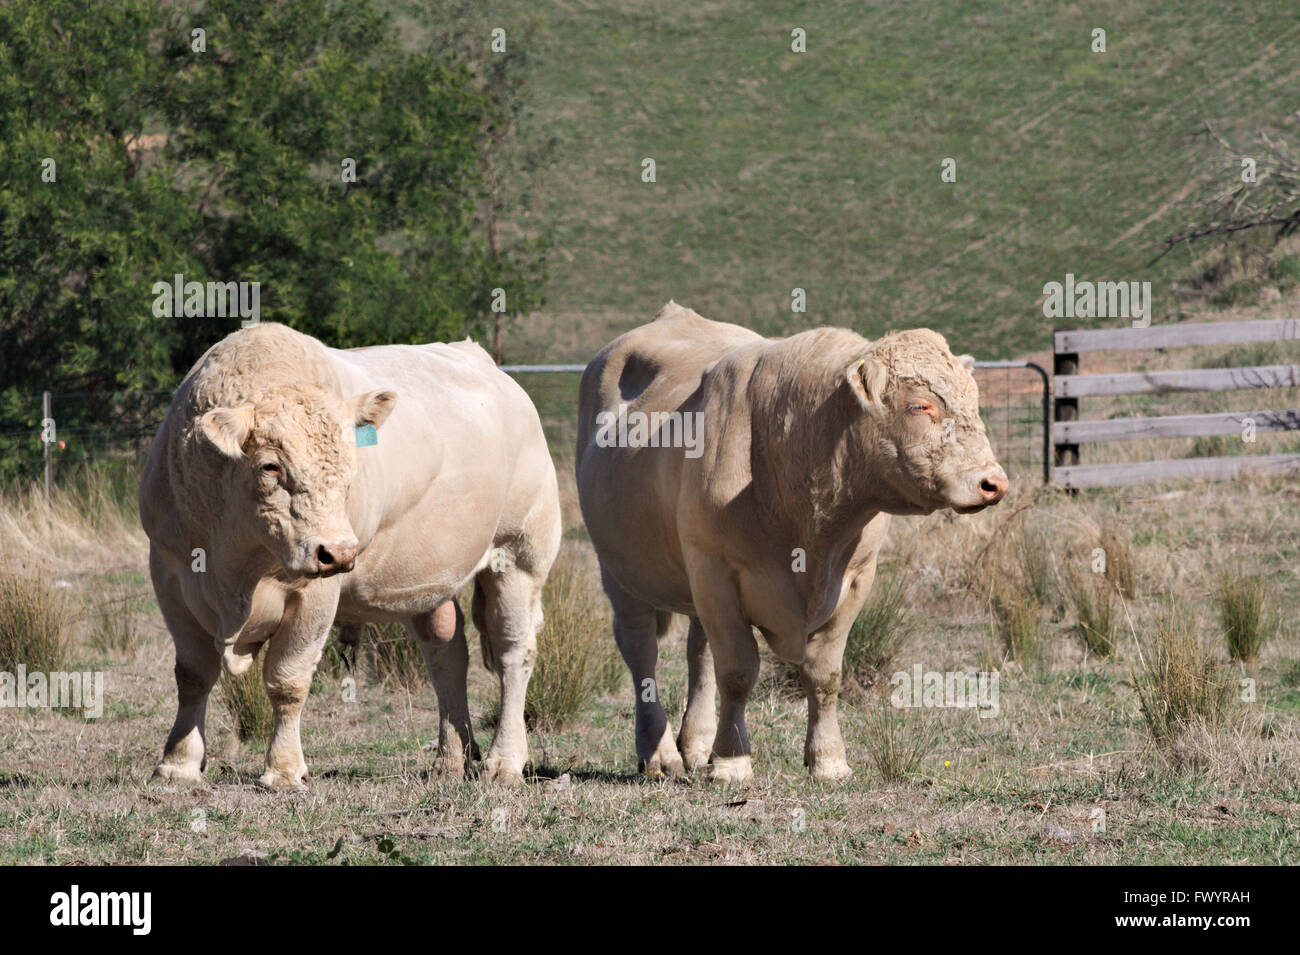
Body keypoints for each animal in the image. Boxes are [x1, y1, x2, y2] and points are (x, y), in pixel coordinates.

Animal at [140, 322, 560, 789]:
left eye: (349, 465)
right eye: (271, 466)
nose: (338, 552)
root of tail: (482, 360)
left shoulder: (317, 593)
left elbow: (287, 679)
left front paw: (283, 769)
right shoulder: (169, 571)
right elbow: (193, 674)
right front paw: (178, 763)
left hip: (519, 555)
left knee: (513, 652)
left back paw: (504, 761)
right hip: (428, 577)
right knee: (446, 654)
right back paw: (452, 759)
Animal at [575, 302, 1007, 783]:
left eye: (973, 402)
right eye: (920, 405)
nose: (992, 483)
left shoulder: (857, 576)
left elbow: (824, 674)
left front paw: (828, 759)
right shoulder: (717, 570)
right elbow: (737, 671)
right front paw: (732, 761)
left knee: (697, 652)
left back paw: (697, 746)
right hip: (620, 571)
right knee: (642, 653)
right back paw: (659, 753)